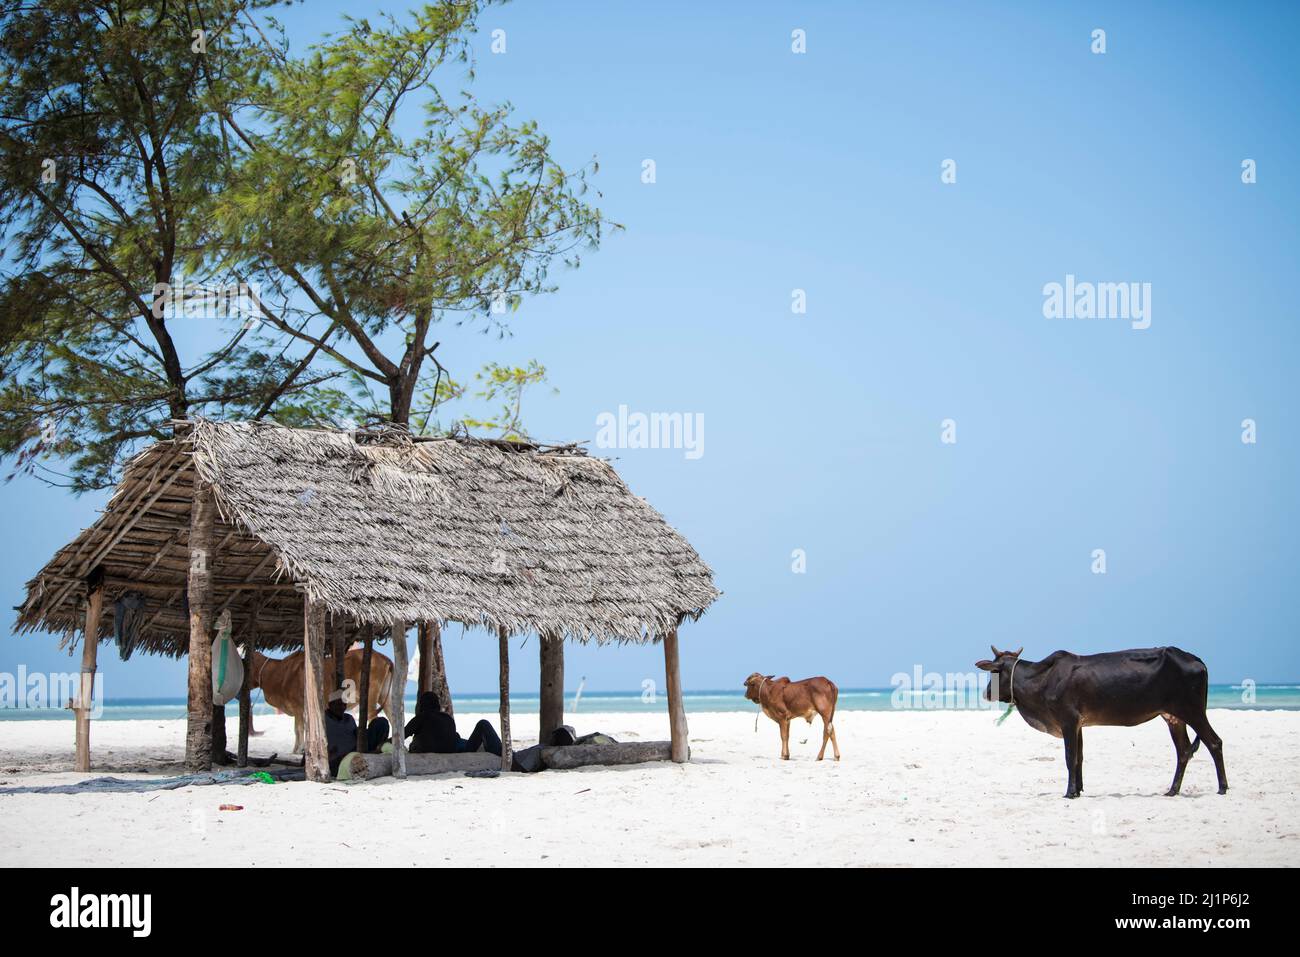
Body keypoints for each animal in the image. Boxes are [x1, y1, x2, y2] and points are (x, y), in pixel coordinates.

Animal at [245, 647, 394, 753]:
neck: (280, 673)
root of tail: (383, 657)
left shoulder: (298, 707)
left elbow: (298, 729)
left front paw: (298, 750)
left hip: (370, 700)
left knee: (375, 718)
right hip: (385, 698)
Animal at [975, 645, 1227, 799]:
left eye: (995, 671)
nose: (986, 693)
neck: (1041, 679)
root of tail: (1196, 660)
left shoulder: (1068, 721)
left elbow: (1070, 757)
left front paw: (1069, 793)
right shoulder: (1078, 725)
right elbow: (1079, 758)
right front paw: (1078, 790)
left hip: (1193, 711)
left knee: (1214, 742)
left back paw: (1222, 788)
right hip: (1173, 718)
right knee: (1184, 751)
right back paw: (1172, 791)